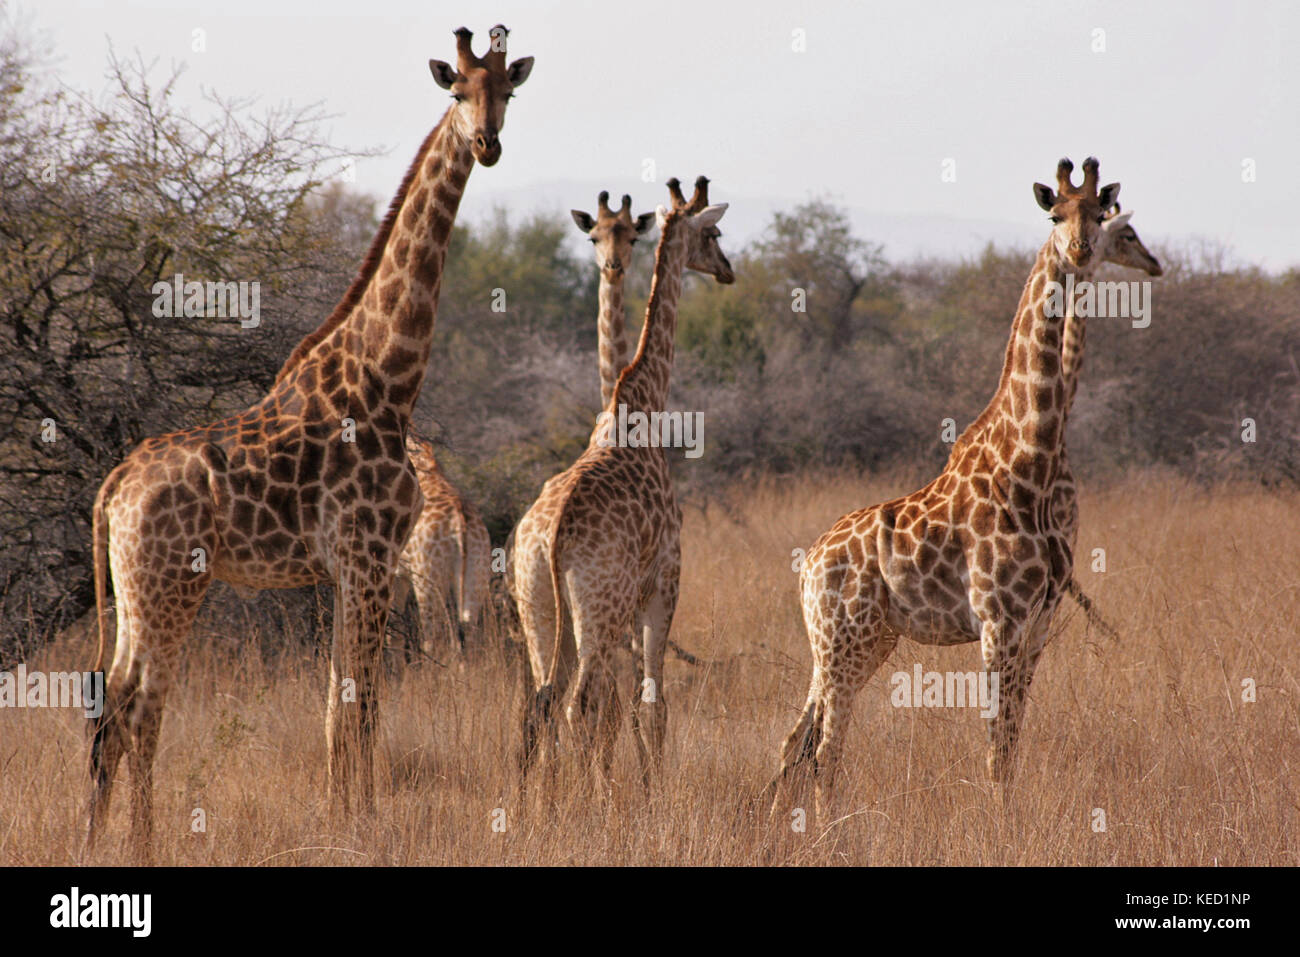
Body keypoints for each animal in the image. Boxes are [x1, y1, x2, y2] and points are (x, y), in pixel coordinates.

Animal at [512, 177, 733, 793]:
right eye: (714, 234)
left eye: (631, 235)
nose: (728, 270)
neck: (640, 405)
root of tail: (549, 540)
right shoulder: (664, 583)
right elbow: (650, 704)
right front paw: (651, 796)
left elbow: (632, 708)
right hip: (598, 609)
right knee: (580, 704)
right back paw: (595, 803)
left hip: (538, 607)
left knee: (541, 706)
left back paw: (541, 805)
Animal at [768, 158, 1137, 818]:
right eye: (1054, 214)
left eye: (1100, 212)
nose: (1078, 250)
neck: (1030, 462)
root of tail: (807, 564)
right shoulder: (998, 622)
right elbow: (996, 748)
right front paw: (1000, 823)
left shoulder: (1037, 626)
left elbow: (1012, 741)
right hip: (843, 641)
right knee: (826, 746)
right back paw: (829, 827)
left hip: (859, 642)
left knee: (797, 739)